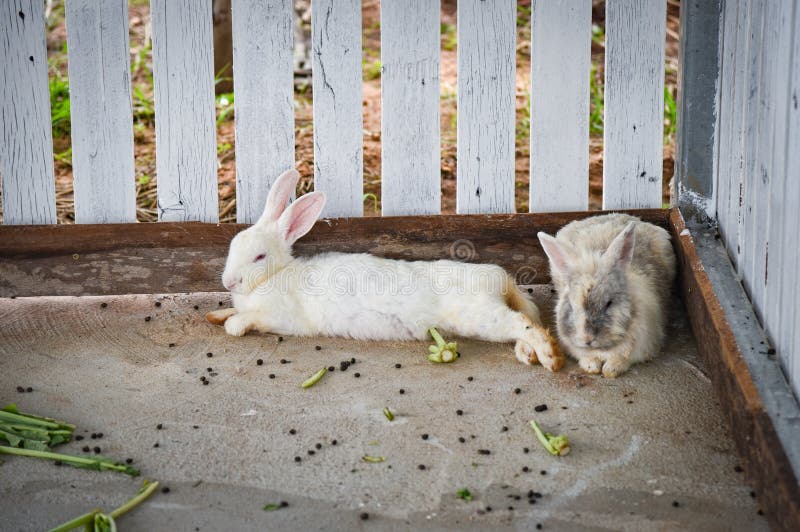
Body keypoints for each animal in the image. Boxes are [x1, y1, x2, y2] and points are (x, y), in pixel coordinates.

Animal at [205, 169, 563, 371]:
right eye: (233, 245)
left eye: (259, 257)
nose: (229, 282)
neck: (274, 277)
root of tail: (499, 278)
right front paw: (215, 315)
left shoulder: (281, 318)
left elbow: (247, 321)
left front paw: (233, 325)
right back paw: (530, 355)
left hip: (480, 317)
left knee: (523, 324)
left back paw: (550, 358)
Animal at [537, 213, 676, 378]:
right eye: (571, 305)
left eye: (608, 303)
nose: (587, 338)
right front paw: (591, 367)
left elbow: (622, 359)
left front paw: (611, 370)